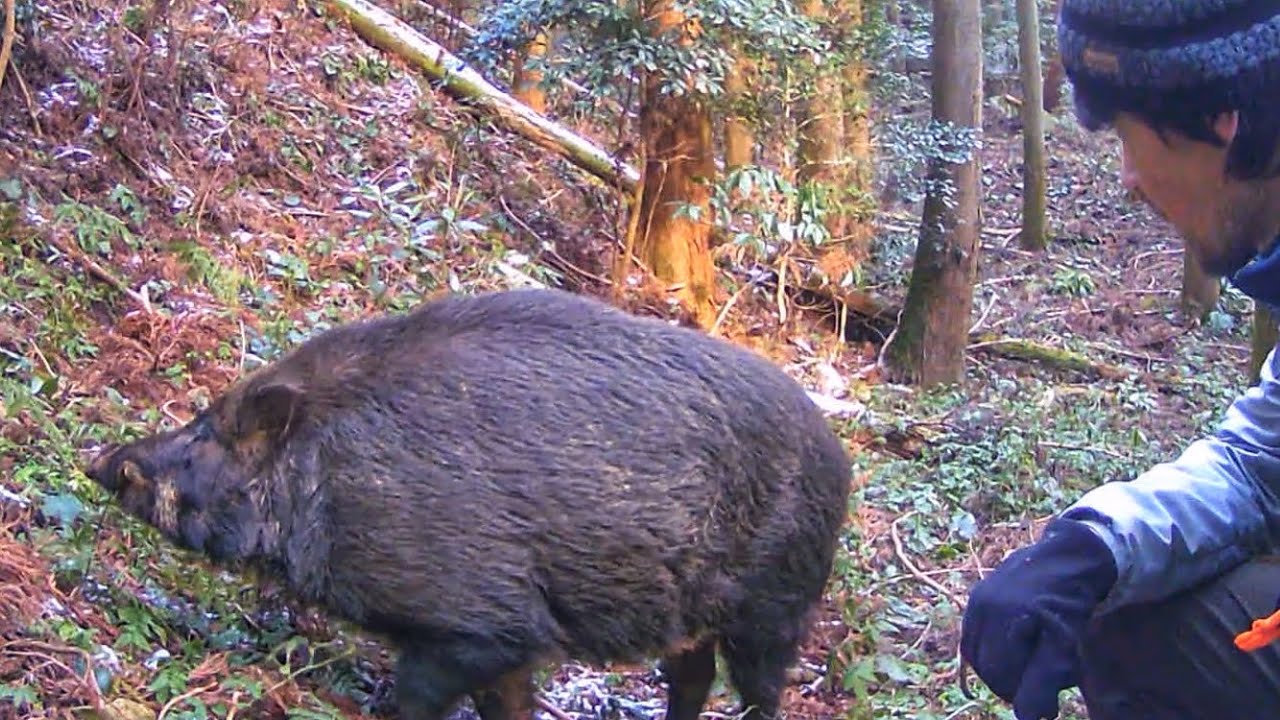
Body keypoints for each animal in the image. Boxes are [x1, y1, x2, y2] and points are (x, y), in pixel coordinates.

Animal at [84, 287, 853, 720]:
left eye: (207, 436)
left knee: (762, 689)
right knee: (691, 678)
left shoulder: (477, 623)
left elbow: (424, 697)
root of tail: (838, 455)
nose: (103, 460)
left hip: (775, 604)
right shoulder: (509, 638)